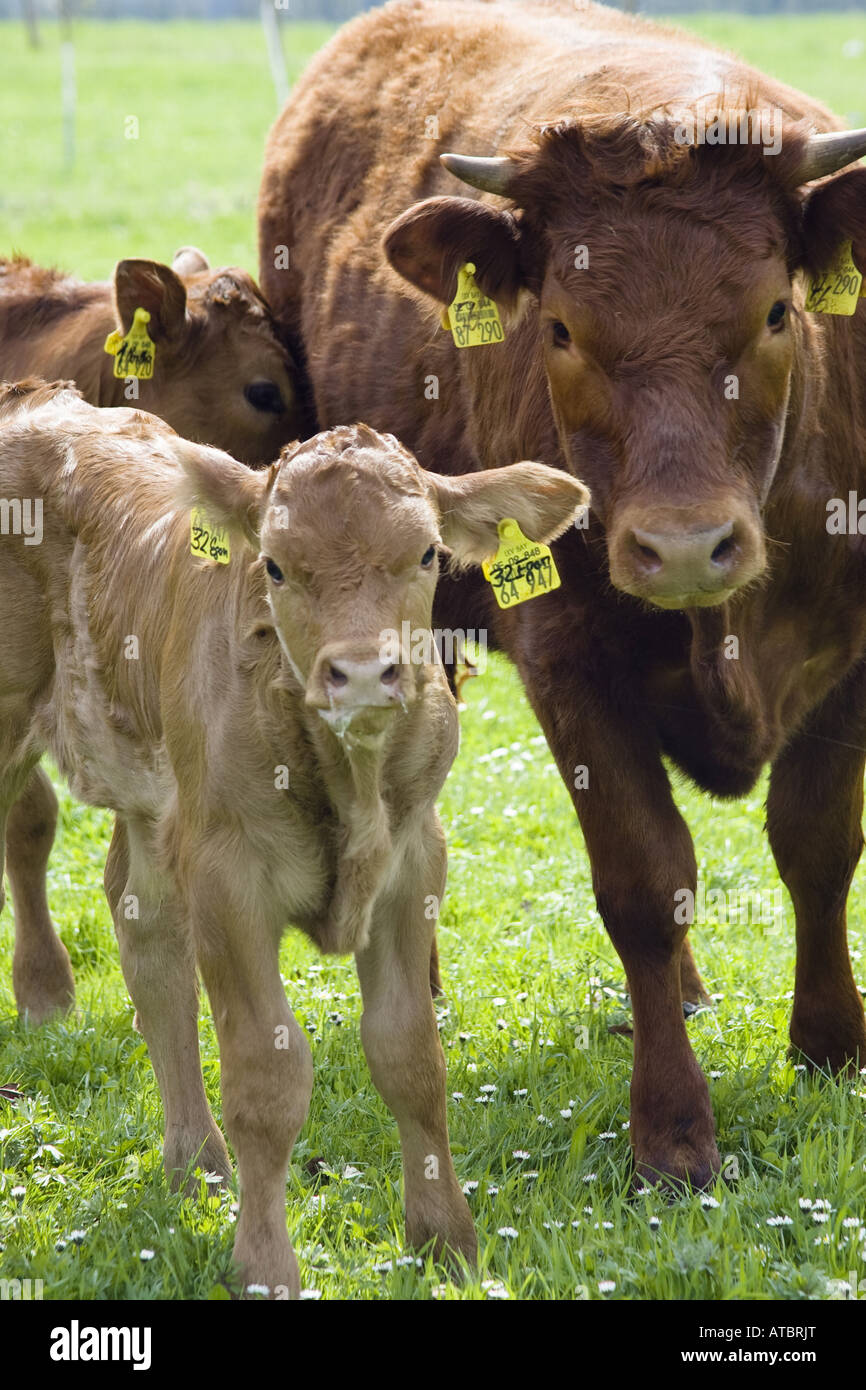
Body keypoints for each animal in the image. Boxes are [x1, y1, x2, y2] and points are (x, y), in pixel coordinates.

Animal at [0, 379, 586, 1294]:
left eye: (426, 554)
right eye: (275, 565)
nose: (362, 673)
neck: (349, 781)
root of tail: (38, 401)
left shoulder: (414, 863)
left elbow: (410, 1057)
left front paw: (446, 1240)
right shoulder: (227, 877)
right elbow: (267, 1079)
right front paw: (265, 1263)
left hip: (152, 799)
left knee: (145, 936)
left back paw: (195, 1162)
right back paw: (48, 993)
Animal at [257, 0, 866, 1190]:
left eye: (777, 313)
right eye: (560, 329)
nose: (685, 548)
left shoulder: (855, 650)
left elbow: (816, 845)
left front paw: (830, 1047)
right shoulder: (568, 661)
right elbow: (641, 880)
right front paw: (672, 1131)